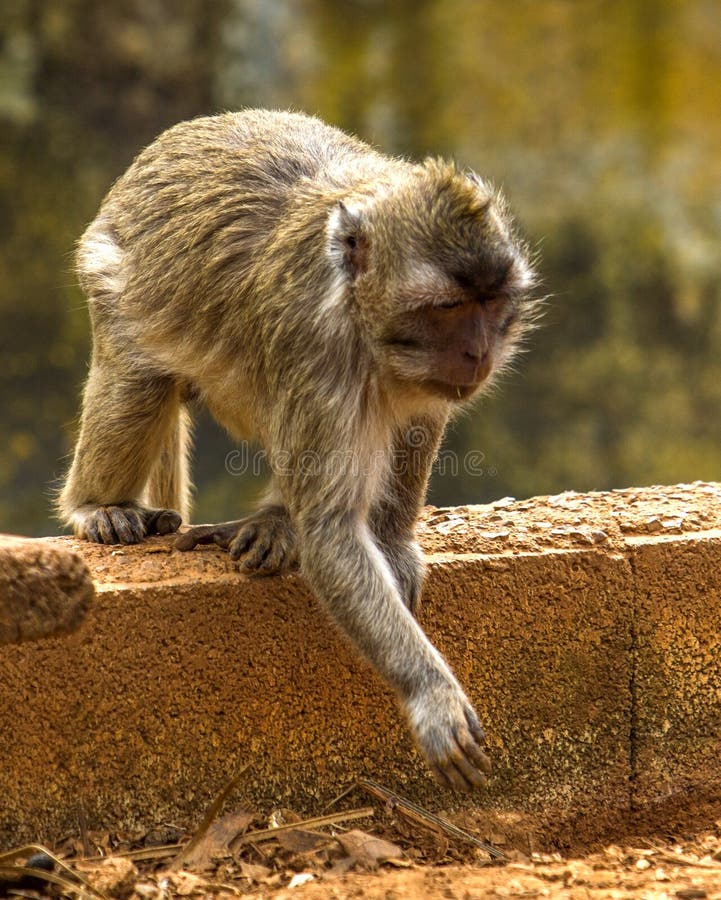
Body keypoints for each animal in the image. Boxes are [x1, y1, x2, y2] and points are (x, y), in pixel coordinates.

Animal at [59, 109, 539, 791]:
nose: (478, 352)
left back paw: (275, 522)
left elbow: (417, 425)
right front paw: (431, 695)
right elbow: (333, 533)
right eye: (449, 306)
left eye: (490, 303)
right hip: (110, 273)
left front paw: (392, 543)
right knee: (137, 384)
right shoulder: (314, 343)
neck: (357, 309)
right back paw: (96, 505)